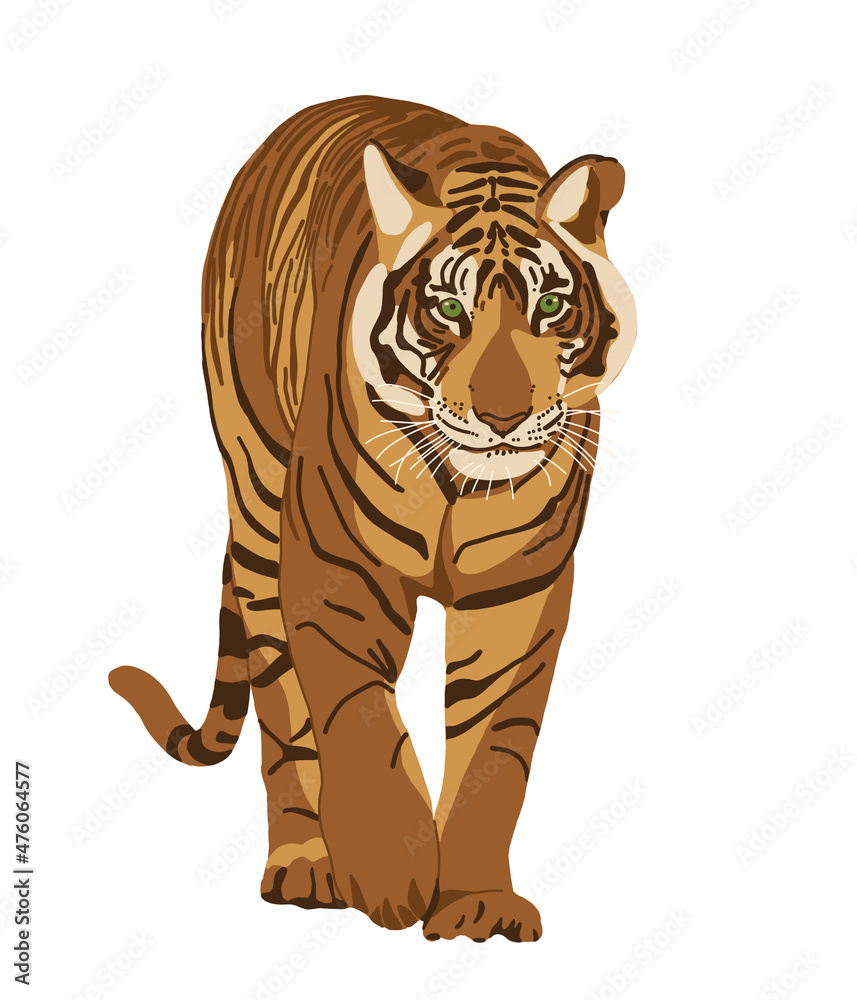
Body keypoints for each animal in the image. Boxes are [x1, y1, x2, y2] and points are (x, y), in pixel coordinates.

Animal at [108, 95, 636, 943]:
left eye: (550, 306)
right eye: (448, 309)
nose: (501, 417)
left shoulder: (516, 590)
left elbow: (494, 752)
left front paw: (473, 902)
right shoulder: (335, 567)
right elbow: (356, 716)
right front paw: (388, 873)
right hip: (259, 500)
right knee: (282, 706)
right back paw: (304, 864)